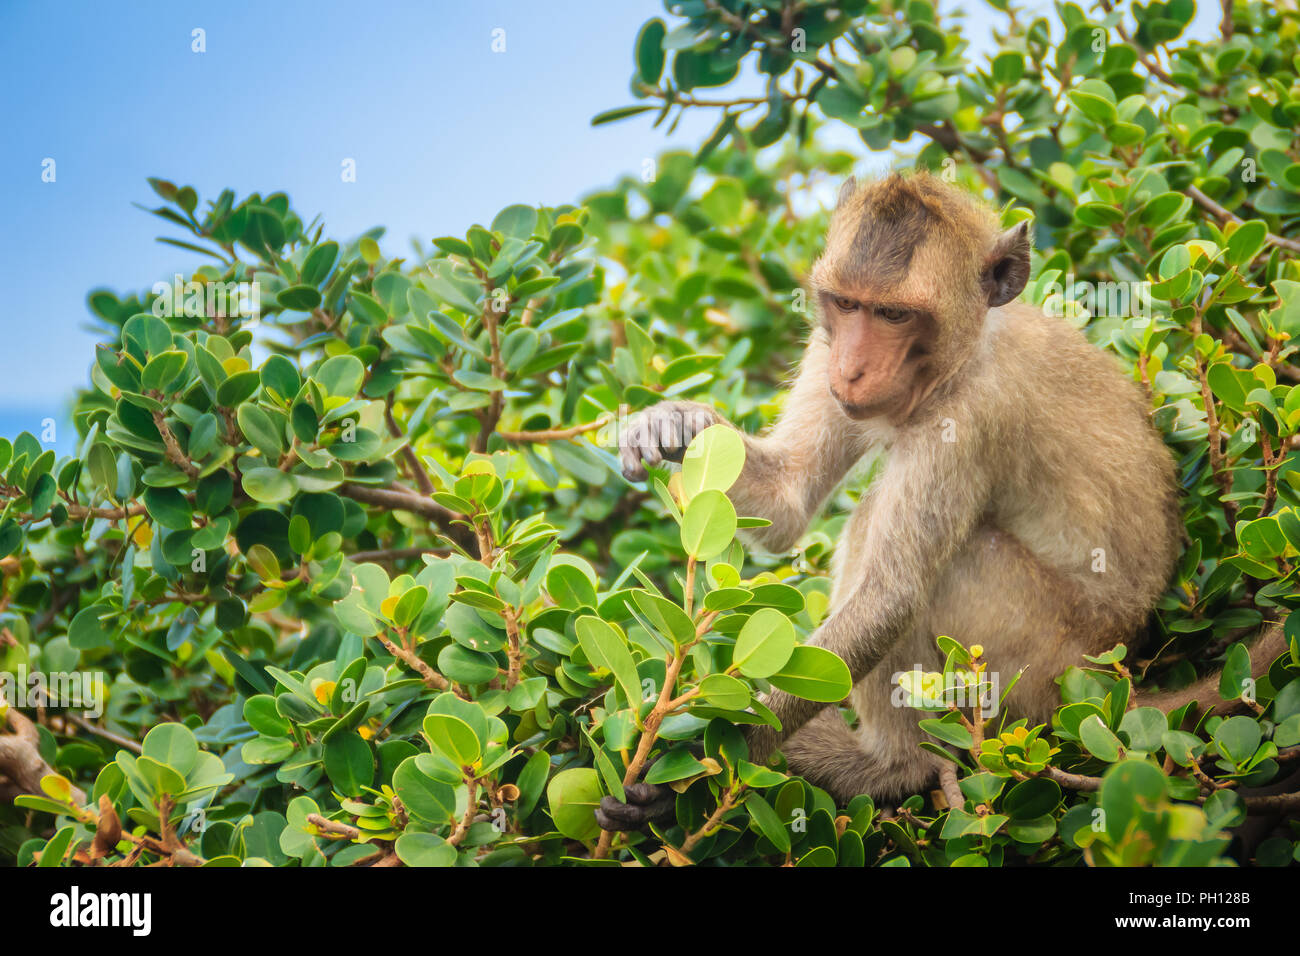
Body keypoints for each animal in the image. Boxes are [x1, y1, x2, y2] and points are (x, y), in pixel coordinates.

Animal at [599, 172, 1287, 830]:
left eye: (894, 315)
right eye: (848, 304)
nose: (851, 371)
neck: (965, 351)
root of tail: (1109, 676)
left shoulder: (973, 415)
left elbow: (891, 600)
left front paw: (702, 768)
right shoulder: (824, 346)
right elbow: (788, 504)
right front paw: (674, 423)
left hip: (1033, 665)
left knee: (919, 556)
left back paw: (891, 766)